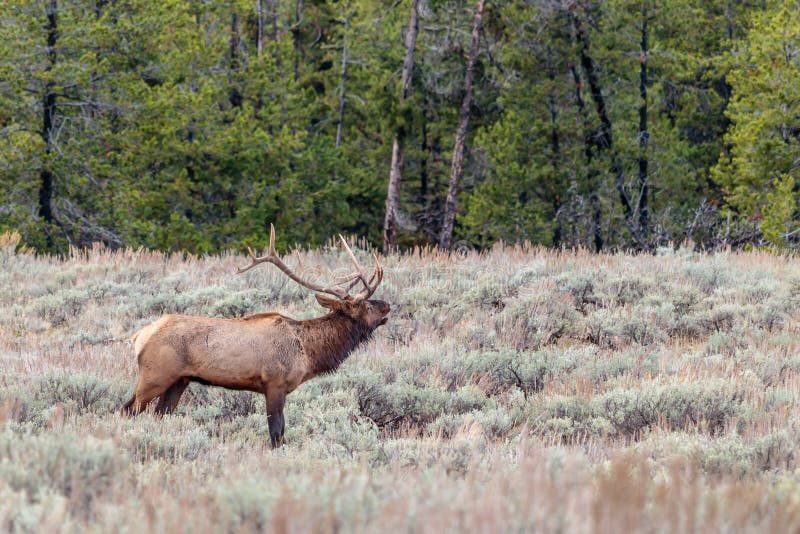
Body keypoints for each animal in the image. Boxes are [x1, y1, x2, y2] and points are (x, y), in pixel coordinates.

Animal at [120, 225, 388, 448]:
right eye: (365, 305)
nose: (387, 305)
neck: (308, 353)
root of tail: (138, 336)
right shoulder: (274, 383)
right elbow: (277, 432)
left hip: (179, 380)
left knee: (159, 414)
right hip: (155, 375)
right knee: (127, 409)